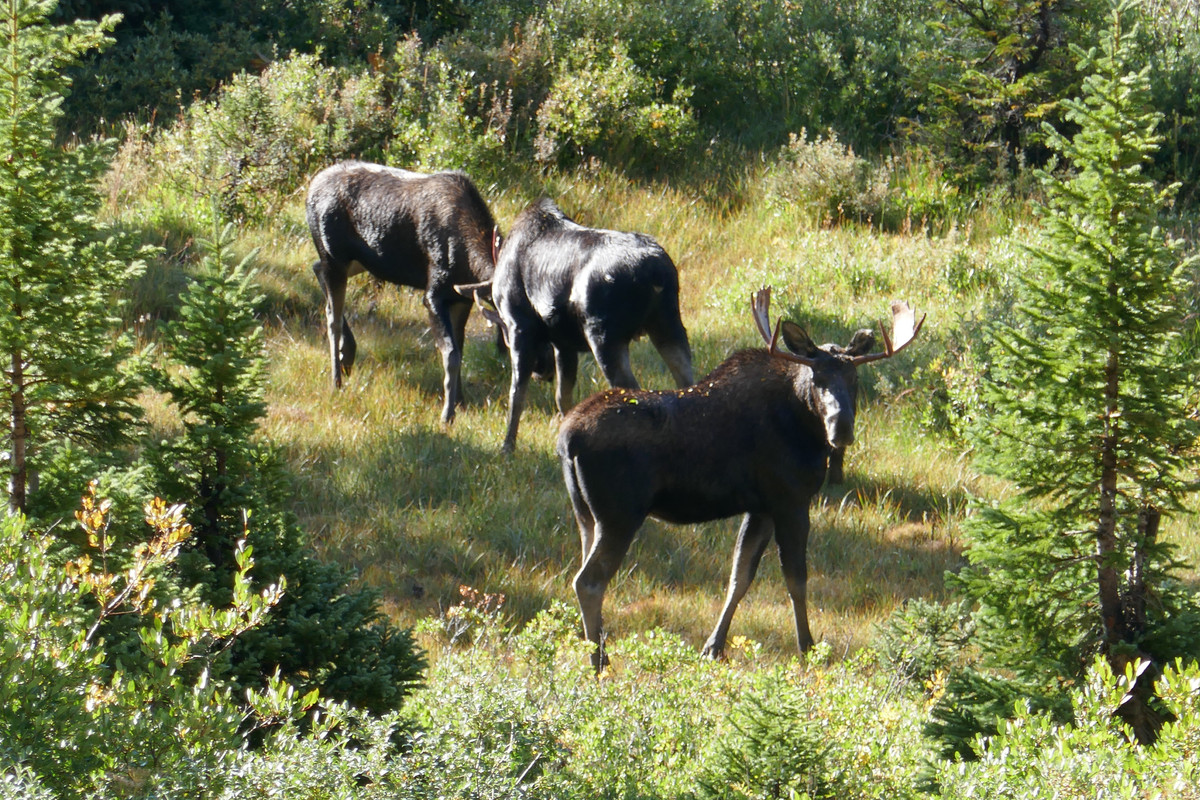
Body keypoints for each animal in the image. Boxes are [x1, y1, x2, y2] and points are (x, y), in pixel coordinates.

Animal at [306, 161, 498, 424]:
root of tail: (310, 189)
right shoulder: (433, 294)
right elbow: (451, 354)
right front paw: (447, 414)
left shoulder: (461, 299)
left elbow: (460, 346)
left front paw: (461, 401)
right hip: (335, 257)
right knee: (331, 317)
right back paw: (337, 379)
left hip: (358, 262)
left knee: (316, 268)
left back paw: (349, 353)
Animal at [456, 198, 694, 452]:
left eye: (503, 328)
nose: (542, 372)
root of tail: (657, 274)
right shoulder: (564, 344)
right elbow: (563, 396)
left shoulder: (520, 325)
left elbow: (517, 393)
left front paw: (507, 447)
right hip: (668, 324)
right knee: (686, 382)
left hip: (604, 336)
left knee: (631, 389)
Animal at [556, 287, 924, 669]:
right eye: (818, 379)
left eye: (854, 379)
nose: (842, 427)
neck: (804, 425)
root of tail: (566, 439)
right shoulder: (790, 500)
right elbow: (796, 579)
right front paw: (807, 646)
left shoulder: (760, 507)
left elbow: (740, 576)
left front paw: (713, 646)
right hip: (619, 515)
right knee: (589, 581)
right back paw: (600, 661)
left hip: (587, 515)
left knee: (582, 573)